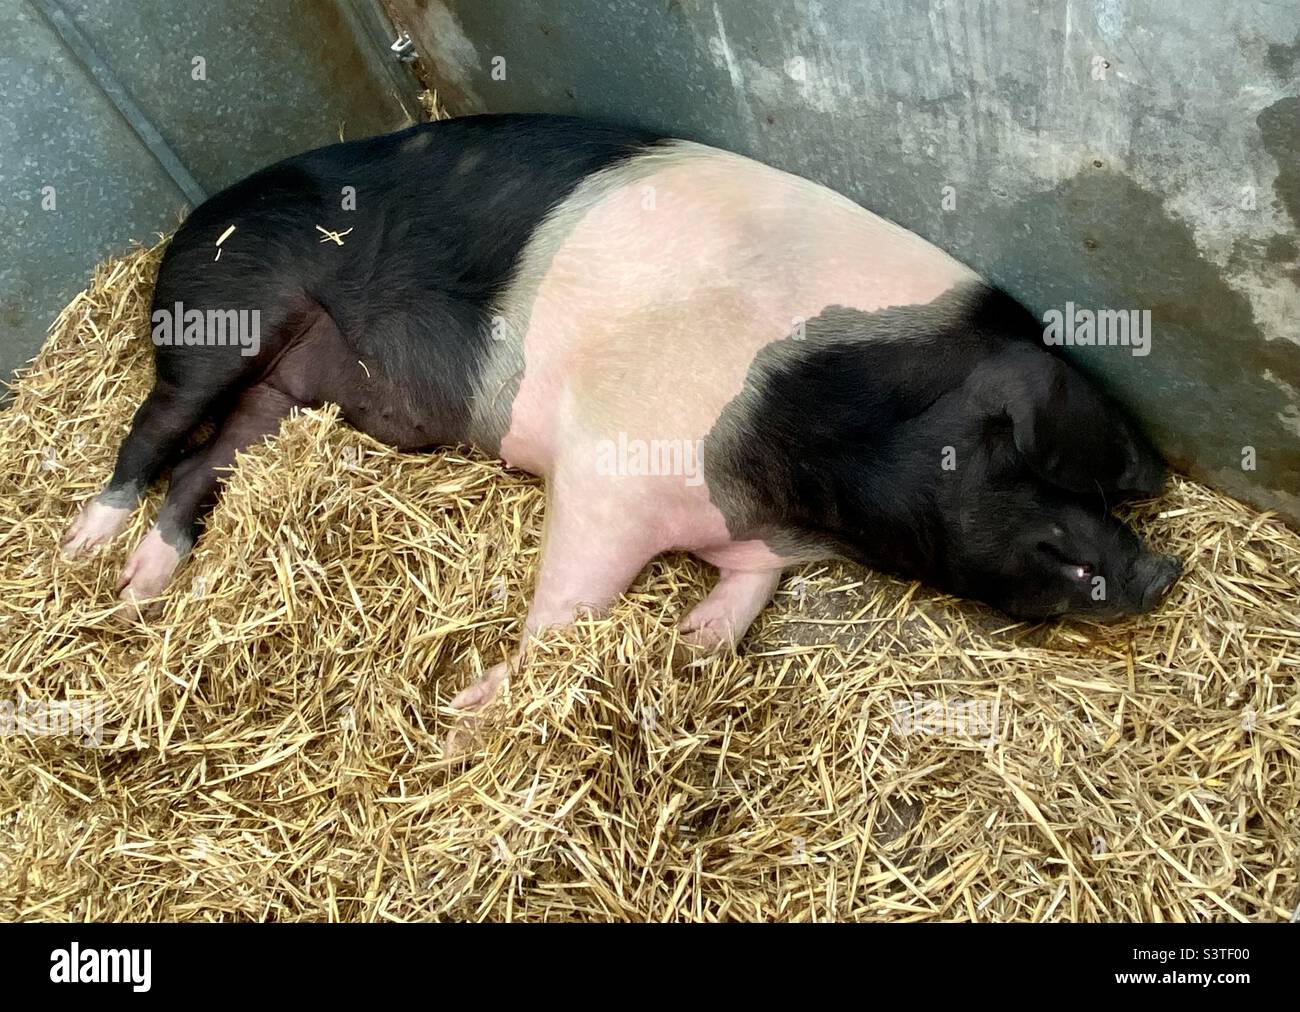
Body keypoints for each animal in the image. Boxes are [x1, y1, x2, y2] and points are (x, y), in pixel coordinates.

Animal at [60, 113, 1180, 710]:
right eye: (1026, 456)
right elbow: (567, 603)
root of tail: (196, 214)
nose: (1163, 570)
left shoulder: (745, 530)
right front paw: (464, 712)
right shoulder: (608, 465)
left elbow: (747, 588)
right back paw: (87, 548)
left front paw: (693, 643)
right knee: (158, 429)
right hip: (225, 306)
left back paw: (139, 589)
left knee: (214, 460)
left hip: (295, 391)